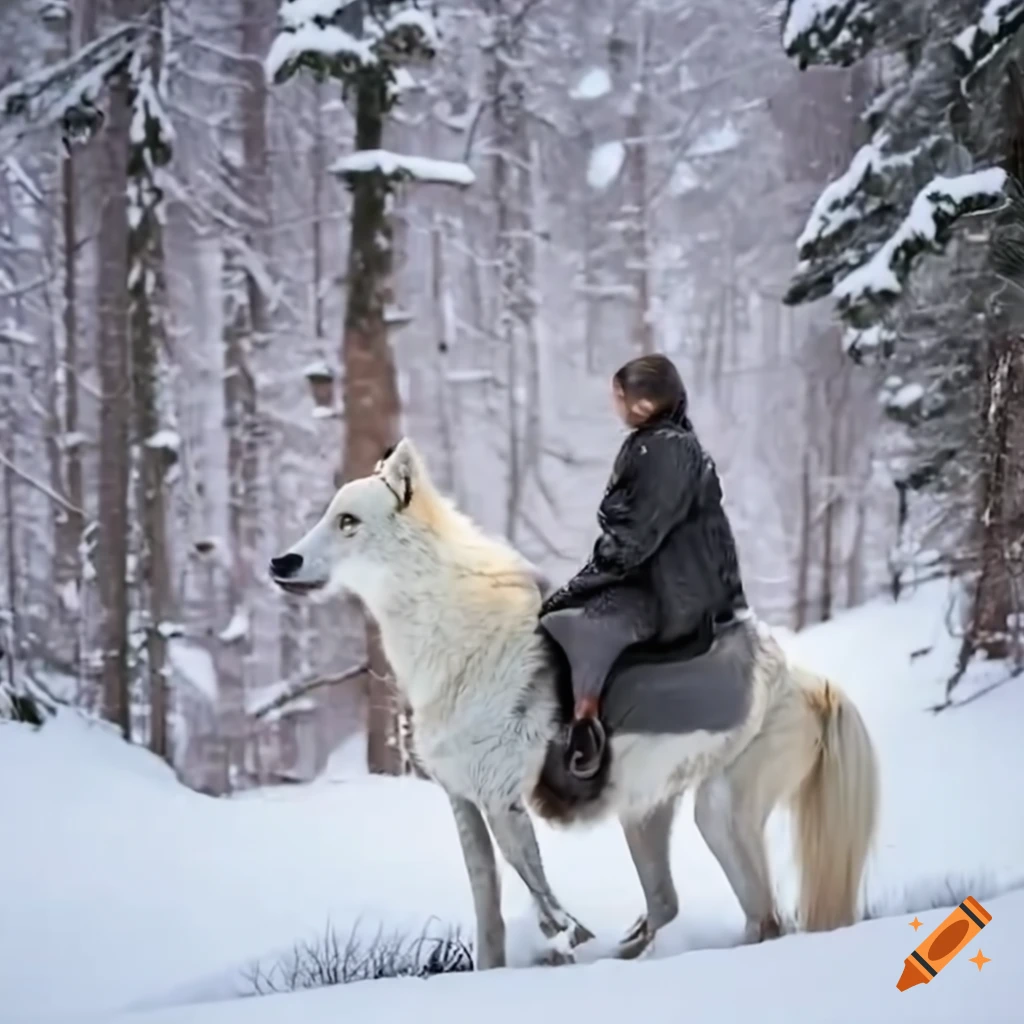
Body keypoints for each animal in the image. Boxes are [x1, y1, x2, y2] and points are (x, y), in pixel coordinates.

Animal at [270, 439, 879, 969]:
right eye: (328, 514)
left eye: (348, 521)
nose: (281, 562)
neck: (457, 639)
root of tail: (809, 681)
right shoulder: (464, 804)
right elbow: (490, 919)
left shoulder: (502, 803)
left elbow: (541, 894)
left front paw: (563, 939)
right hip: (648, 818)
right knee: (673, 905)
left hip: (717, 816)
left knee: (764, 921)